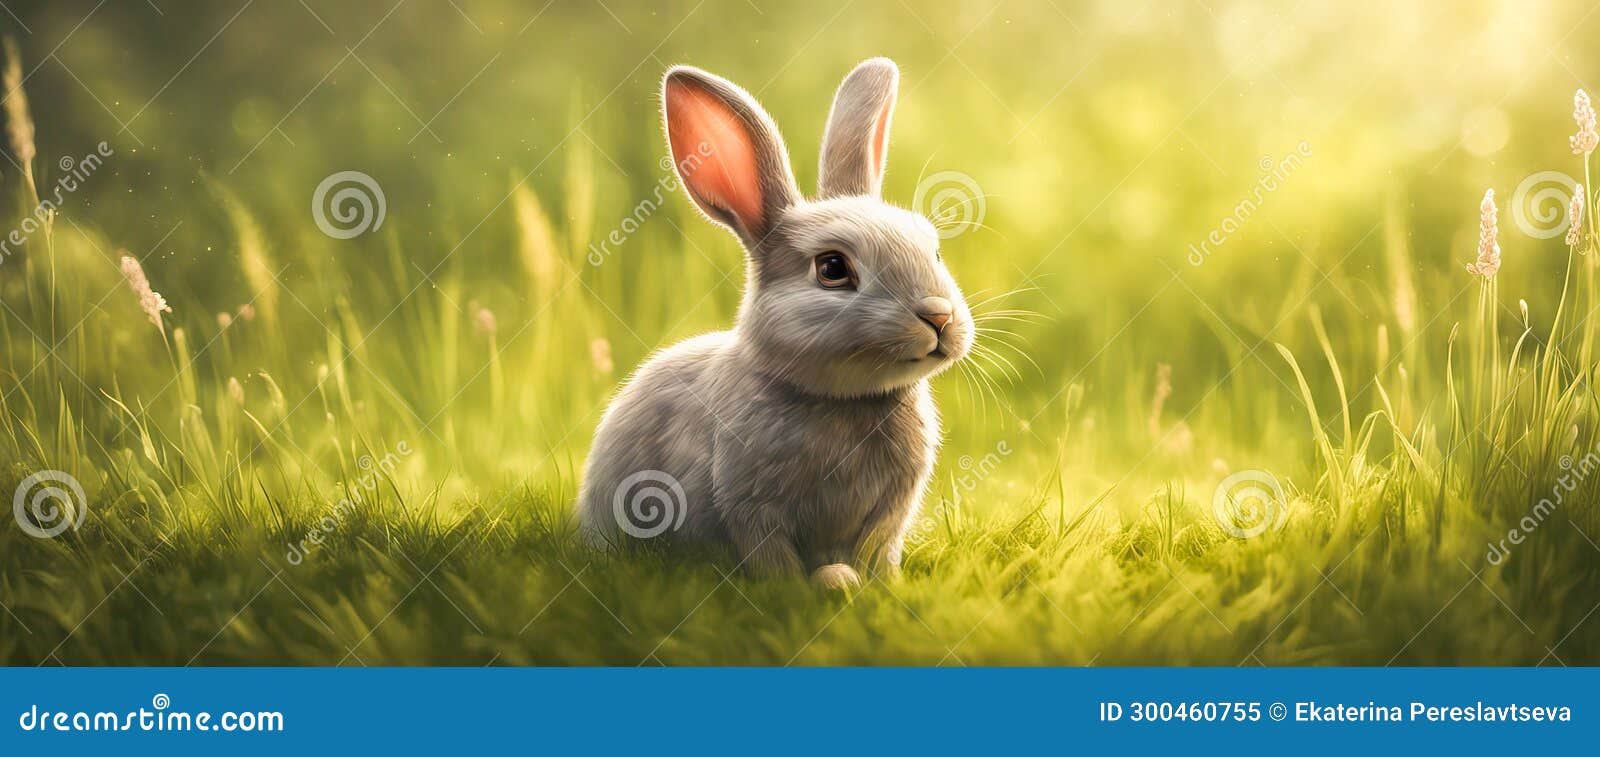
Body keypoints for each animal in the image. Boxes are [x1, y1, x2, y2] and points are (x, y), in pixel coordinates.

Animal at [578, 57, 973, 592]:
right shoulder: (748, 500)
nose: (939, 316)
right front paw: (793, 591)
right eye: (832, 268)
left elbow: (878, 547)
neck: (844, 400)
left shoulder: (893, 505)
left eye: (934, 251)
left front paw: (880, 586)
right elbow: (770, 550)